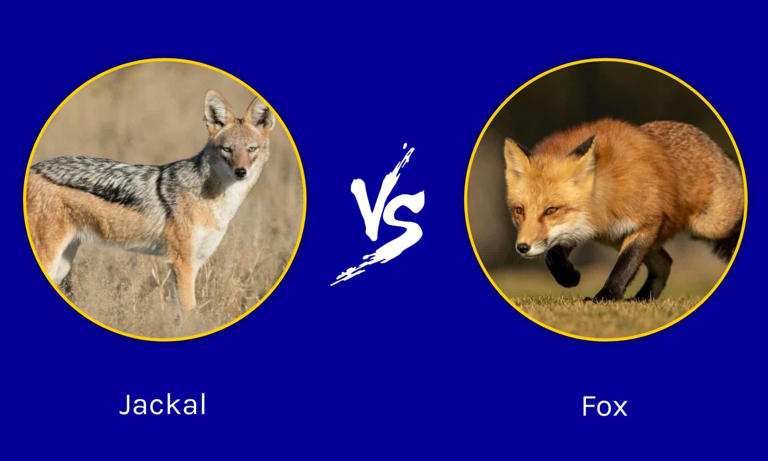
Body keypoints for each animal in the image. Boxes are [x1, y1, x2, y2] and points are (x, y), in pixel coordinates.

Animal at [25, 89, 275, 311]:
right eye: (227, 149)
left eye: (251, 149)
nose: (241, 172)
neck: (214, 200)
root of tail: (34, 168)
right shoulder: (182, 263)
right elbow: (190, 315)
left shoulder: (191, 264)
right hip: (51, 260)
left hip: (62, 264)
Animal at [503, 118, 743, 302]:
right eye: (519, 210)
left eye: (551, 210)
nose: (522, 247)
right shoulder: (579, 228)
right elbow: (552, 255)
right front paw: (569, 276)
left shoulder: (647, 224)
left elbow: (624, 266)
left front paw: (606, 297)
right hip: (620, 239)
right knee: (665, 263)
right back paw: (642, 299)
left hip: (712, 224)